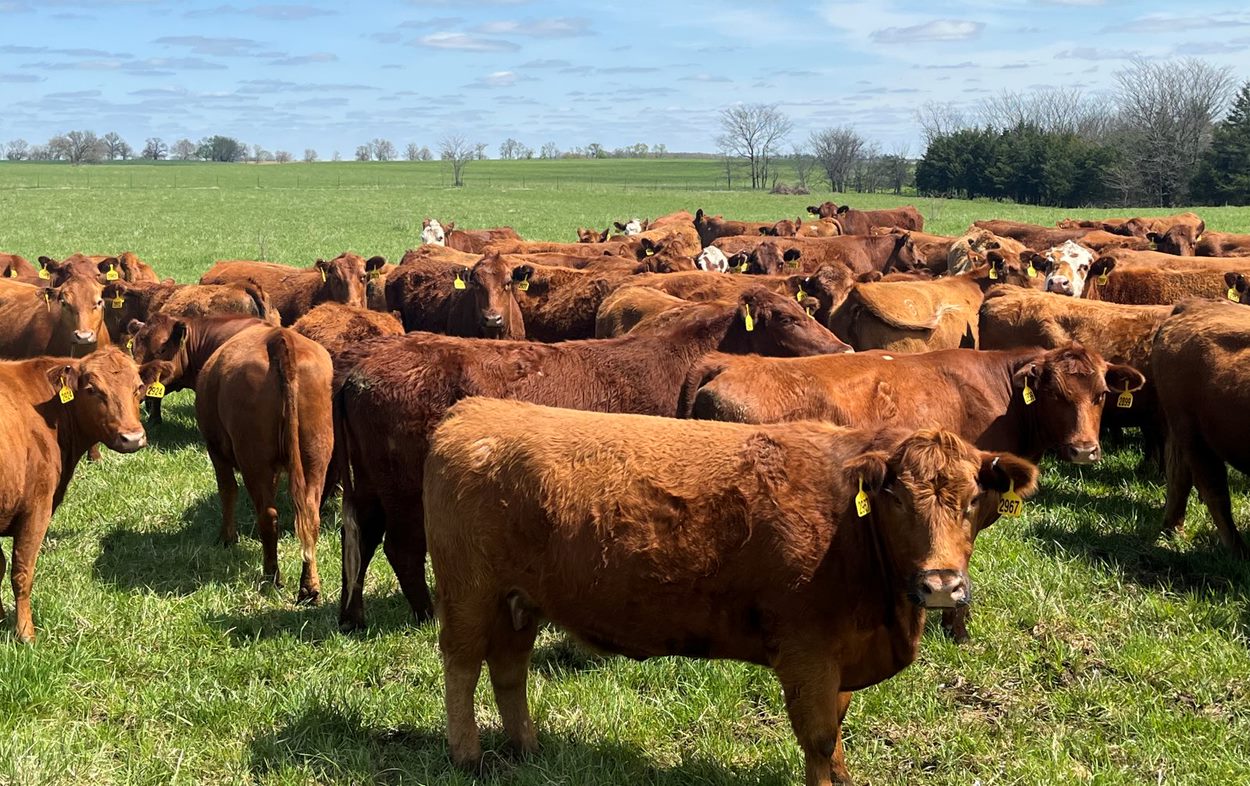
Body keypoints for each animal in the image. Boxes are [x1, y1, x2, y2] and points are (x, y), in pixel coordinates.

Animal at [0, 347, 157, 642]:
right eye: (92, 390)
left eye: (139, 387)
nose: (132, 438)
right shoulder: (36, 509)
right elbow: (22, 572)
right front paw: (26, 633)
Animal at [335, 294, 856, 629]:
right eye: (786, 318)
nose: (846, 348)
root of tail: (361, 363)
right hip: (404, 490)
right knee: (401, 547)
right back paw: (426, 615)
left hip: (370, 485)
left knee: (361, 537)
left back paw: (352, 614)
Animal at [424, 397, 1037, 784]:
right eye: (898, 500)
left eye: (972, 501)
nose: (941, 583)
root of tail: (472, 410)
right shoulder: (807, 650)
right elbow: (819, 737)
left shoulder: (840, 655)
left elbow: (837, 732)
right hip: (468, 595)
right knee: (462, 665)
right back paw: (466, 755)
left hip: (519, 602)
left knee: (509, 669)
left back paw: (526, 748)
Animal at [1152, 299, 1250, 557]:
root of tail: (1194, 304)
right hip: (1192, 434)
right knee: (1213, 488)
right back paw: (1238, 551)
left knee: (1179, 476)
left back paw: (1173, 529)